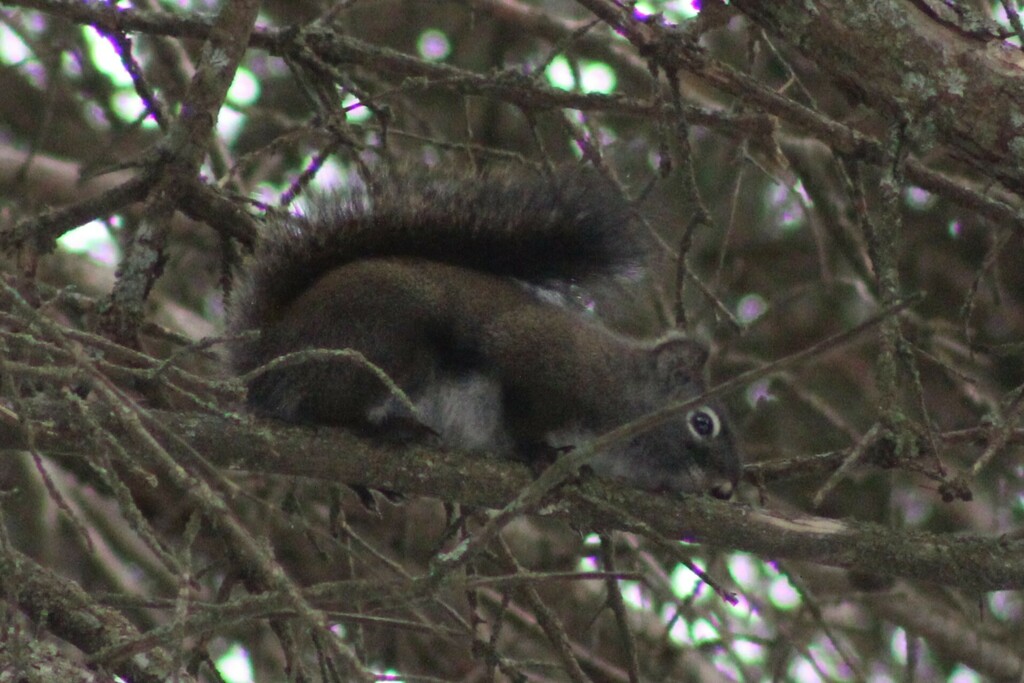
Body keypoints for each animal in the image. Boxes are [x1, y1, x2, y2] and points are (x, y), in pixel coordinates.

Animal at [228, 168, 741, 499]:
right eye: (703, 423)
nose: (726, 489)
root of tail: (270, 353)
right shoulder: (536, 356)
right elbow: (520, 414)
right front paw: (537, 451)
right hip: (386, 344)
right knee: (330, 407)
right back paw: (385, 427)